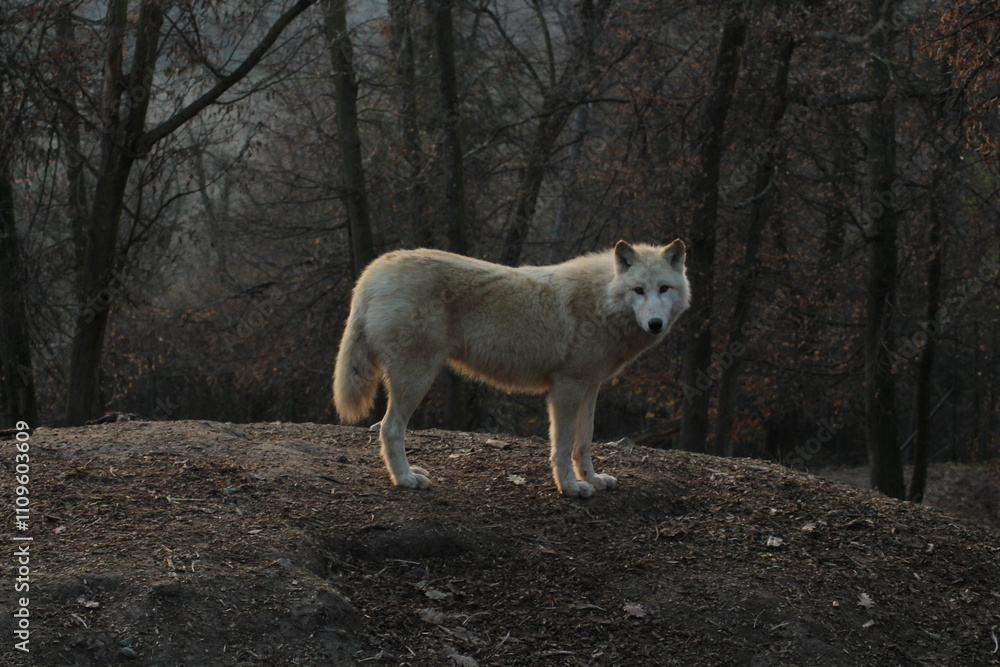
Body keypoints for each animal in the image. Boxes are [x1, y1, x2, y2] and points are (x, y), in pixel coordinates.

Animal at [333, 240, 690, 497]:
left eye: (664, 288)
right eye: (638, 290)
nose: (655, 324)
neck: (601, 301)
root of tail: (374, 269)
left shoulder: (590, 387)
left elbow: (584, 441)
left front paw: (592, 479)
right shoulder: (566, 387)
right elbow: (562, 445)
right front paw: (570, 487)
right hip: (417, 378)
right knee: (388, 428)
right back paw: (406, 479)